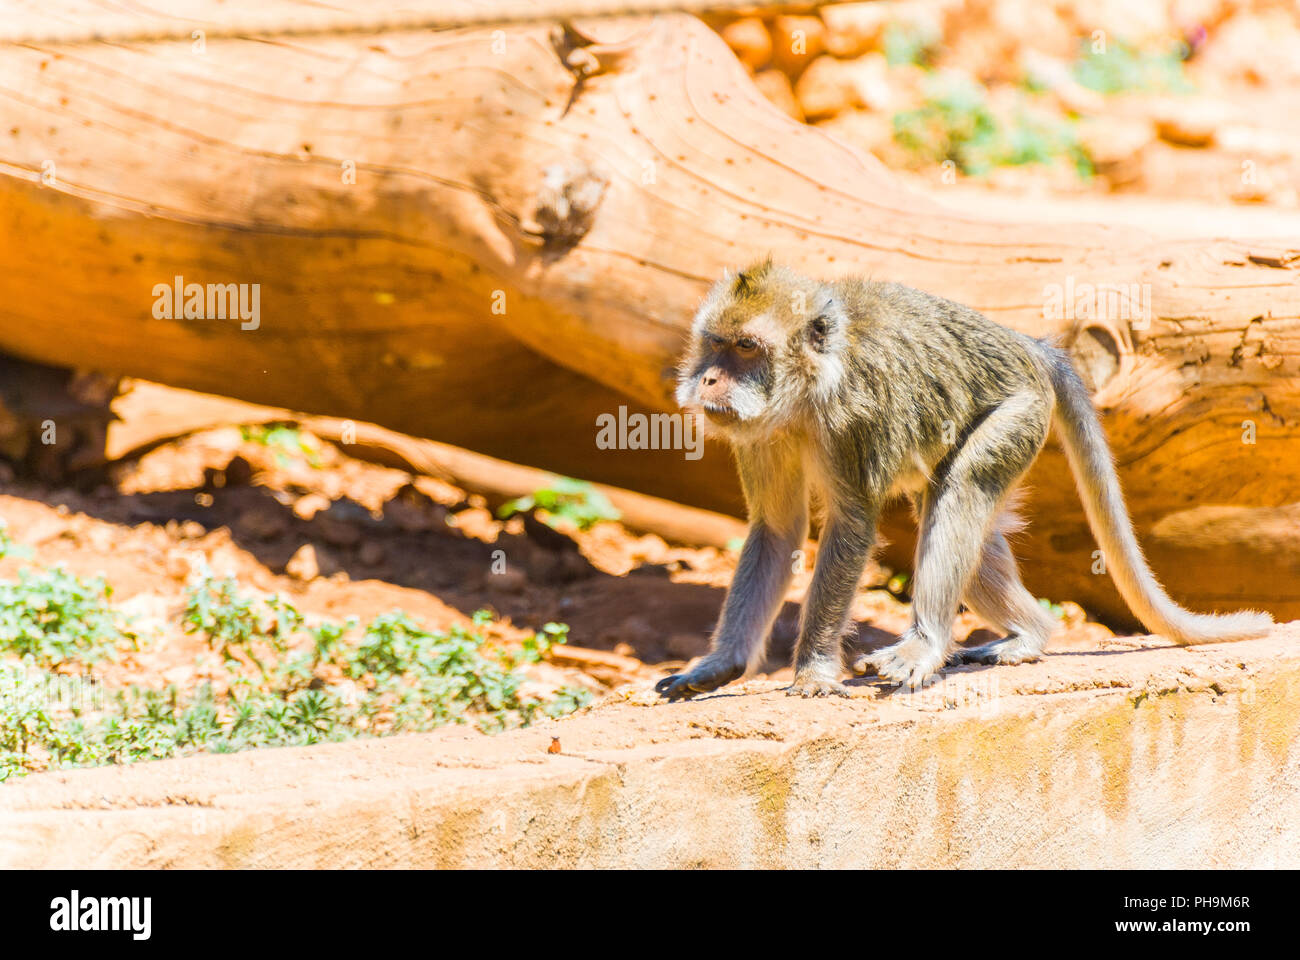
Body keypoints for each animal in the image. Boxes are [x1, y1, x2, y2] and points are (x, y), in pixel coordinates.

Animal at [656, 258, 1273, 699]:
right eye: (715, 343)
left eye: (746, 347)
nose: (708, 379)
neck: (805, 392)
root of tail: (1028, 346)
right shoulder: (760, 436)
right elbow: (777, 532)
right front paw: (722, 664)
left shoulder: (852, 420)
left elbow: (851, 526)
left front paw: (812, 671)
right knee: (962, 517)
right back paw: (1031, 635)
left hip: (1020, 411)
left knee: (962, 490)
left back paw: (927, 645)